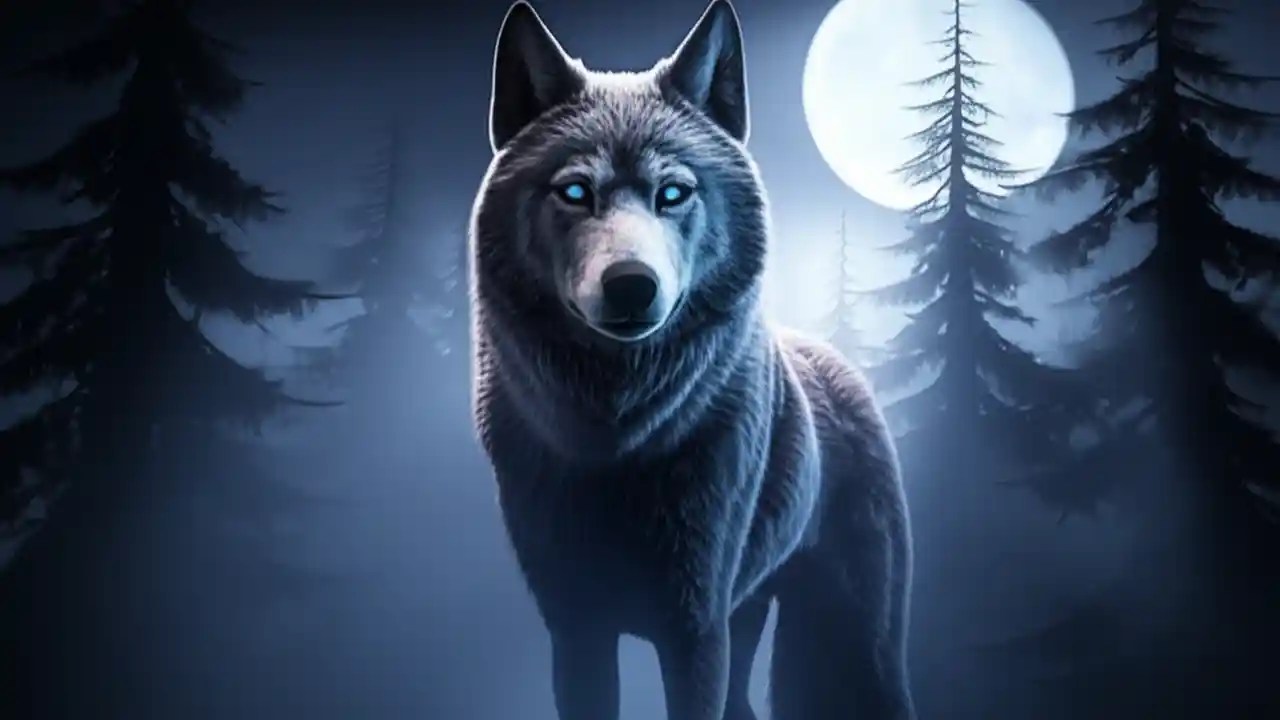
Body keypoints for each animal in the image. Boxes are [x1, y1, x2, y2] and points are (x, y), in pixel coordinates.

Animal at [468, 1, 916, 718]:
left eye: (672, 194)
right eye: (575, 192)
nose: (631, 284)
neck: (617, 443)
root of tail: (831, 358)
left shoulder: (693, 630)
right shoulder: (577, 630)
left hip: (847, 636)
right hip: (746, 614)